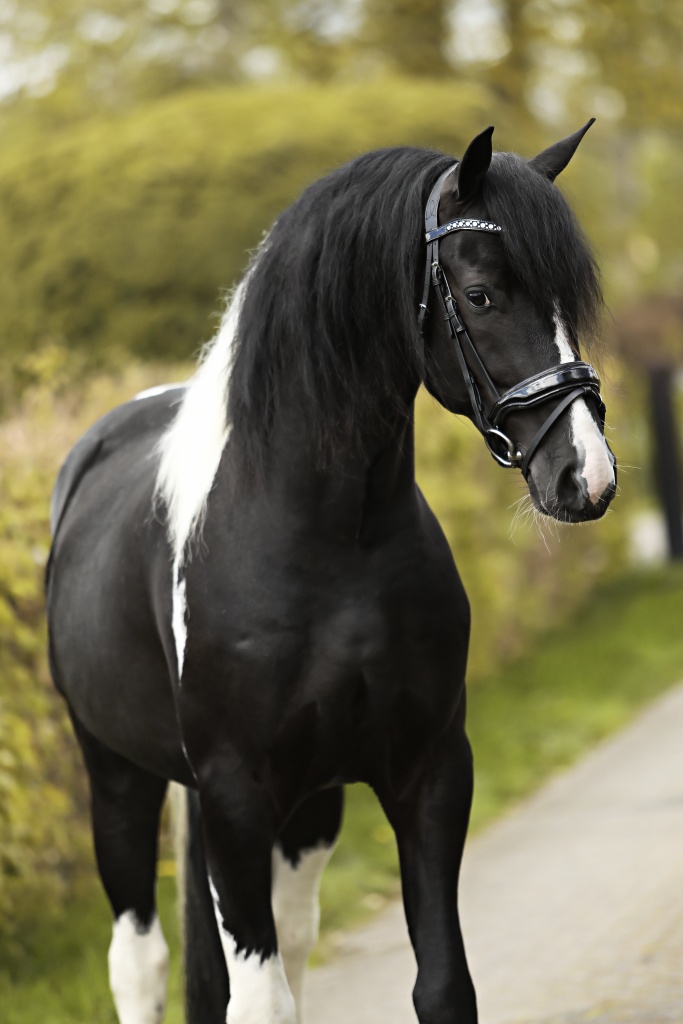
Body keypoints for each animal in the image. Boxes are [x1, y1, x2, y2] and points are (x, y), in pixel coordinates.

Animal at [46, 121, 616, 1024]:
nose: (585, 477)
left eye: (567, 299)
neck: (330, 545)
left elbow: (442, 986)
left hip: (308, 807)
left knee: (293, 940)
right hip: (119, 781)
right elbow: (258, 1000)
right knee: (137, 962)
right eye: (481, 295)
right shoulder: (235, 800)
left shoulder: (427, 772)